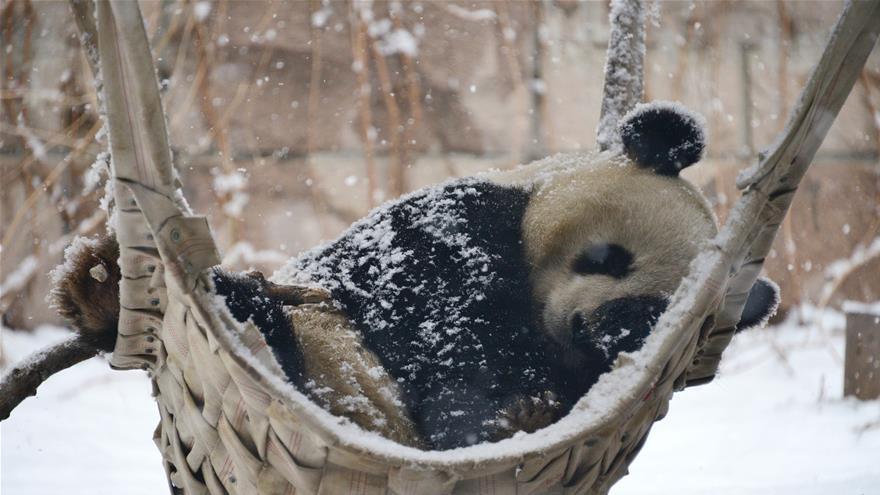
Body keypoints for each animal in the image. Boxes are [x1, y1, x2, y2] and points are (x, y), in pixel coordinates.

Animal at [51, 102, 779, 452]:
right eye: (606, 257)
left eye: (656, 314)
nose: (597, 325)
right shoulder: (452, 230)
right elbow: (428, 319)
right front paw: (471, 420)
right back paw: (109, 289)